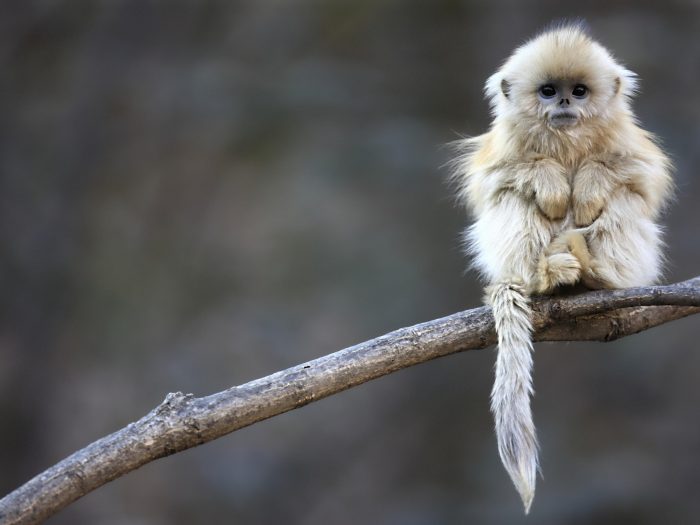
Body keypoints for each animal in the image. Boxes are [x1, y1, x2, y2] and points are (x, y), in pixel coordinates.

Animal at [451, 24, 672, 513]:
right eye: (548, 91)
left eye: (580, 91)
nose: (566, 103)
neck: (566, 141)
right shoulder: (502, 149)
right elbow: (498, 179)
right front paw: (551, 182)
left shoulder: (629, 144)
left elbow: (638, 177)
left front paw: (587, 186)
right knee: (512, 198)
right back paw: (546, 276)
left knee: (623, 199)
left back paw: (595, 273)